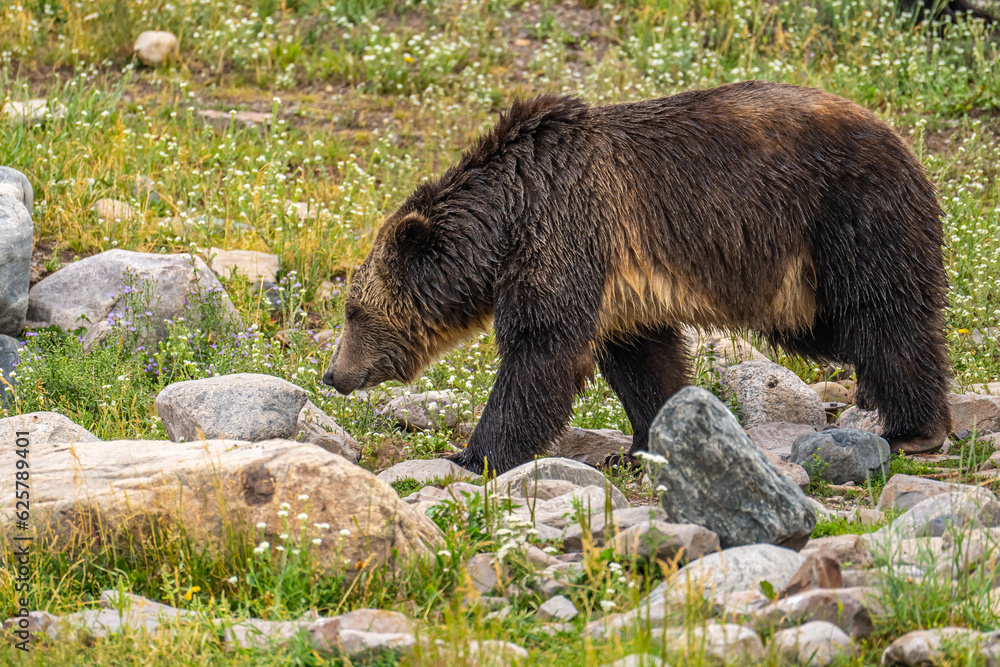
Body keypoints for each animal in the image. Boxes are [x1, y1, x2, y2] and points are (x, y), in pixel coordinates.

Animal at [323, 80, 952, 476]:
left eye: (354, 311)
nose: (334, 375)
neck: (507, 219)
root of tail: (901, 138)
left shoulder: (568, 231)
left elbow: (540, 352)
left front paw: (475, 454)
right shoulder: (625, 292)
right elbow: (644, 363)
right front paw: (646, 443)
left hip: (847, 217)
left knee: (885, 316)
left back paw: (914, 427)